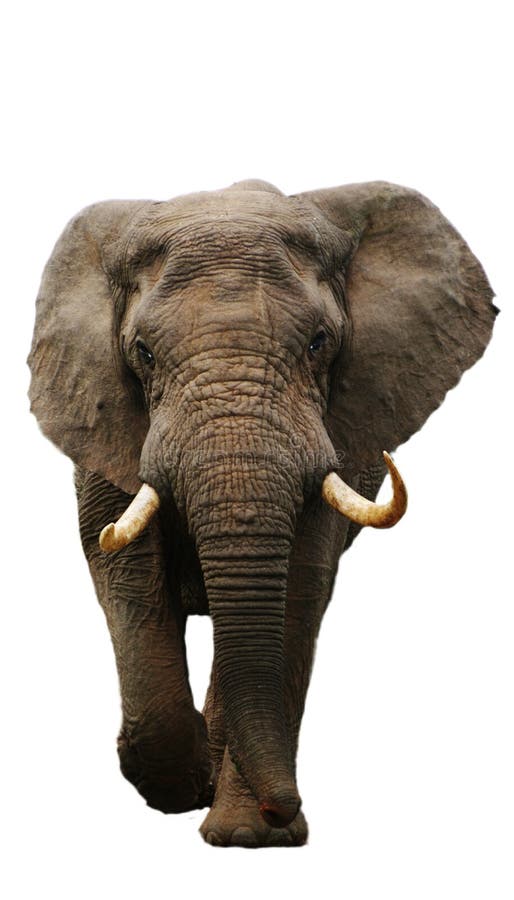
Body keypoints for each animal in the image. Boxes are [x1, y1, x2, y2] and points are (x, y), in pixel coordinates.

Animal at [28, 179, 496, 848]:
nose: (286, 807)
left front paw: (251, 837)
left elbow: (300, 584)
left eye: (320, 343)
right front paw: (181, 782)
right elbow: (122, 569)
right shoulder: (101, 414)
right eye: (142, 352)